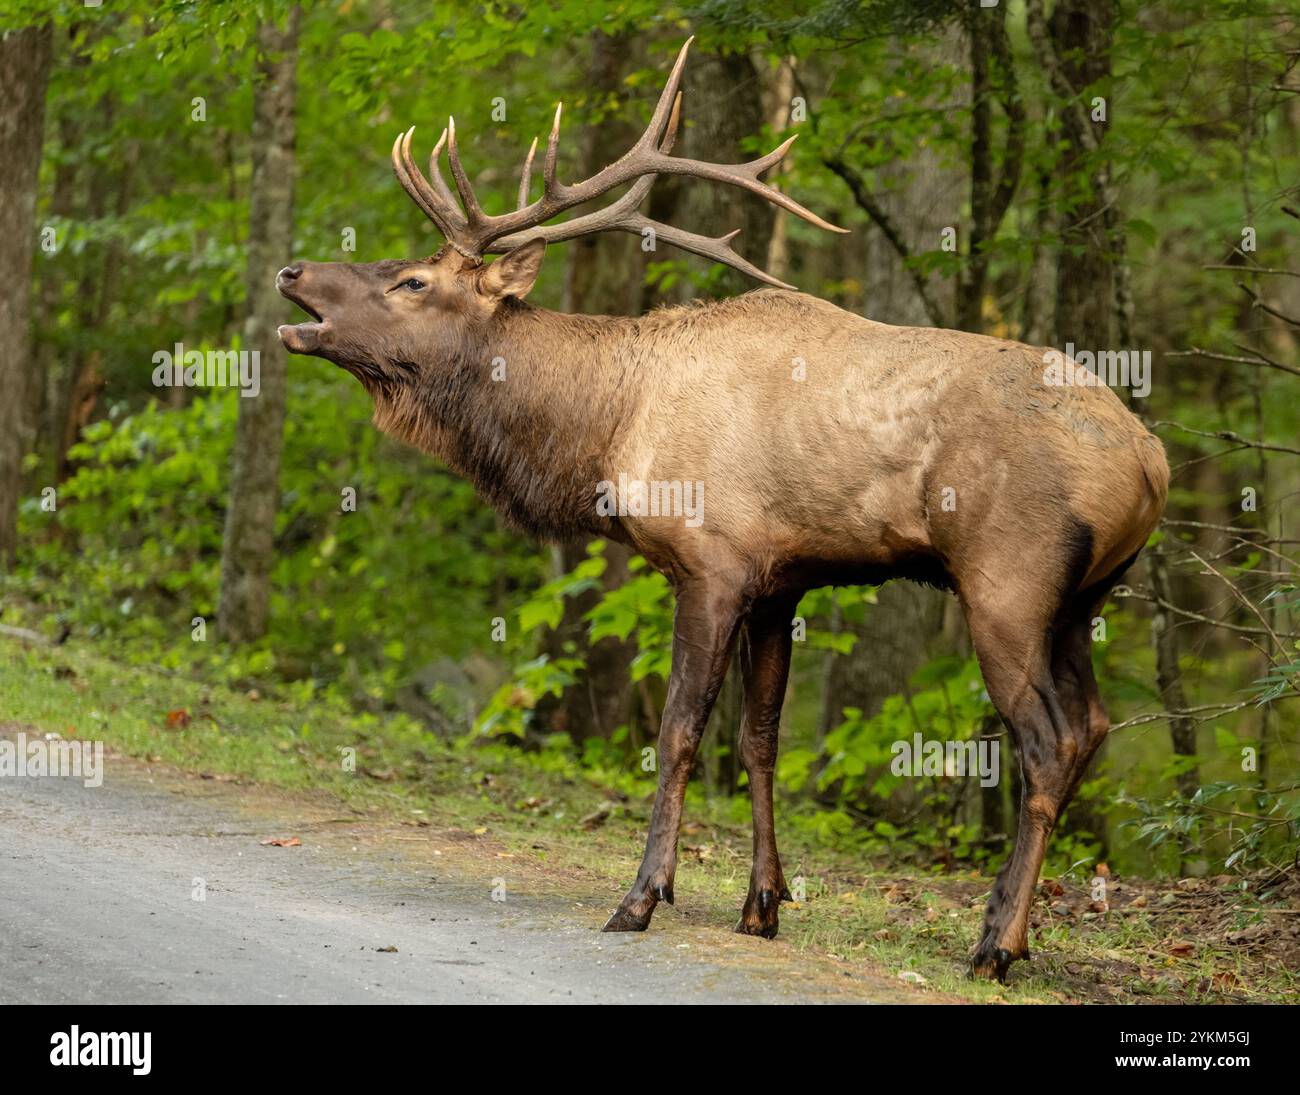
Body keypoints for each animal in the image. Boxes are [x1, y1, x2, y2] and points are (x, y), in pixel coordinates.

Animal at [275, 39, 1168, 982]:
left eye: (412, 279)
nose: (293, 272)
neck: (607, 429)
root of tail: (1152, 463)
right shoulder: (781, 582)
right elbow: (759, 739)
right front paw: (762, 903)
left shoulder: (711, 563)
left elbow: (678, 732)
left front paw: (641, 895)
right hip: (1084, 599)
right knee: (1093, 724)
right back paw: (1006, 926)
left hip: (1007, 580)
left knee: (1046, 741)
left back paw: (996, 941)